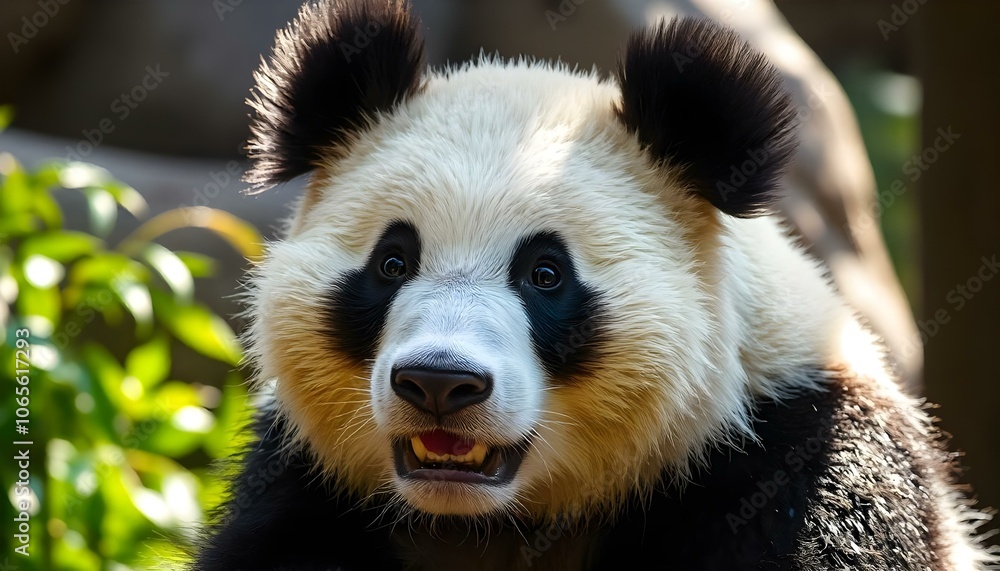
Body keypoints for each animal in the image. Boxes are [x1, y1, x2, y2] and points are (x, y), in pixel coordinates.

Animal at [193, 0, 997, 569]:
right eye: (393, 263)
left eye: (545, 274)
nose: (440, 383)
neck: (496, 522)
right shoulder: (305, 485)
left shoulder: (798, 458)